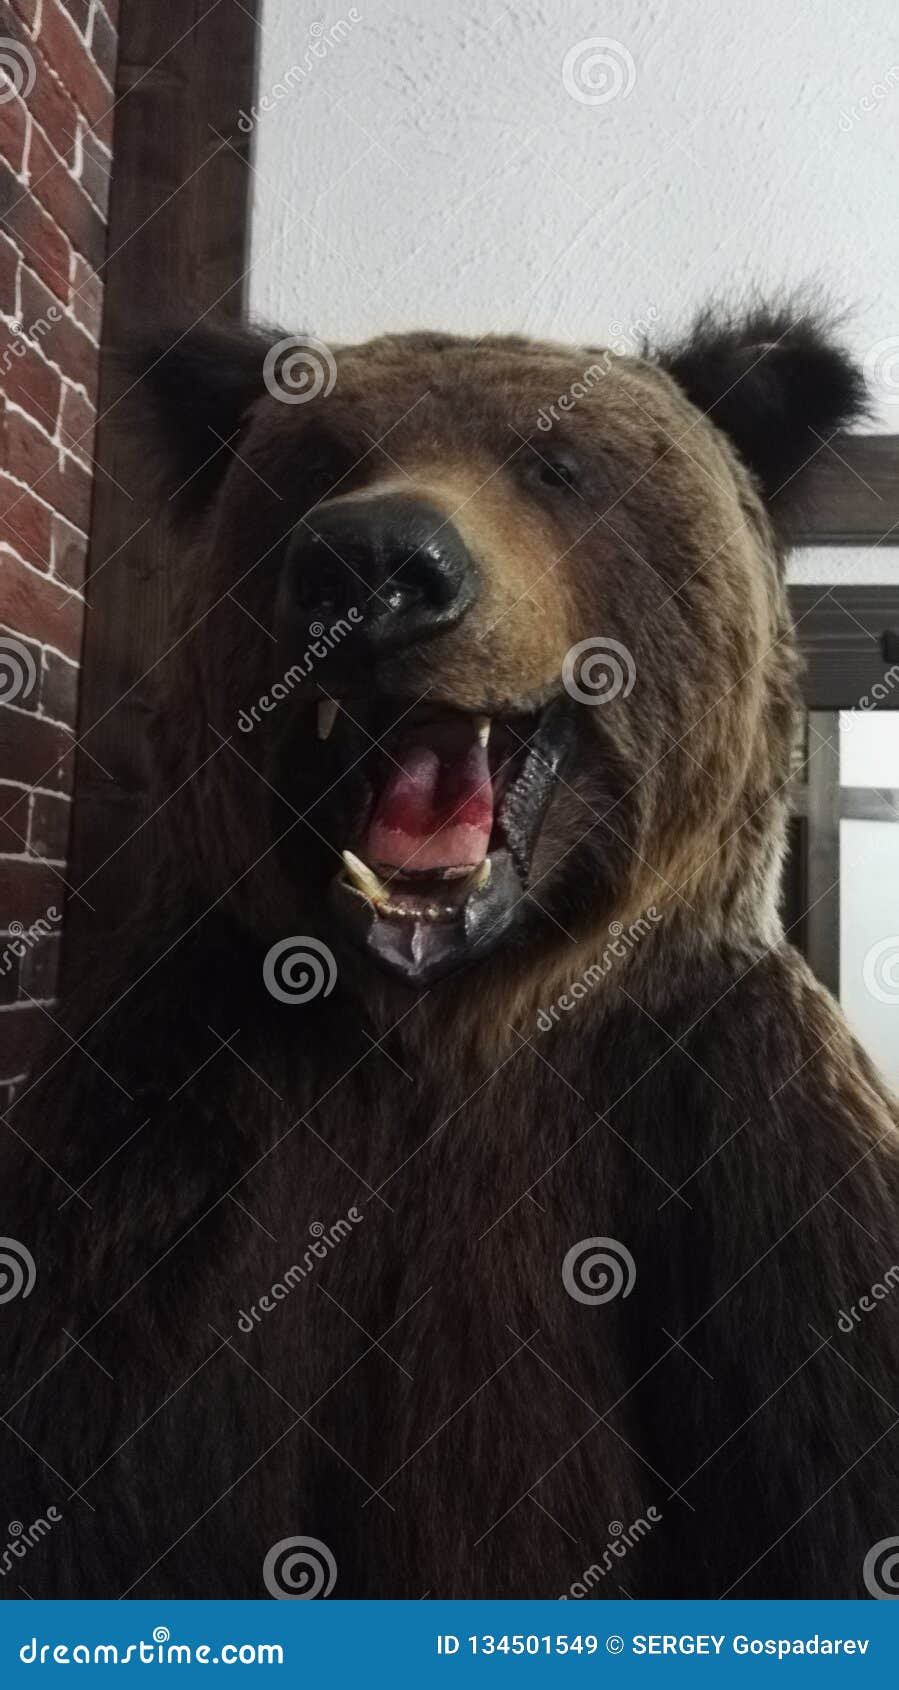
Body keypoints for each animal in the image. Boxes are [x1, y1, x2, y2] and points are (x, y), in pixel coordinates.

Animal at [1, 303, 898, 1601]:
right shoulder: (167, 1132)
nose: (371, 563)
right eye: (316, 461)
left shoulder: (743, 1139)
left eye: (558, 466)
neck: (452, 1025)